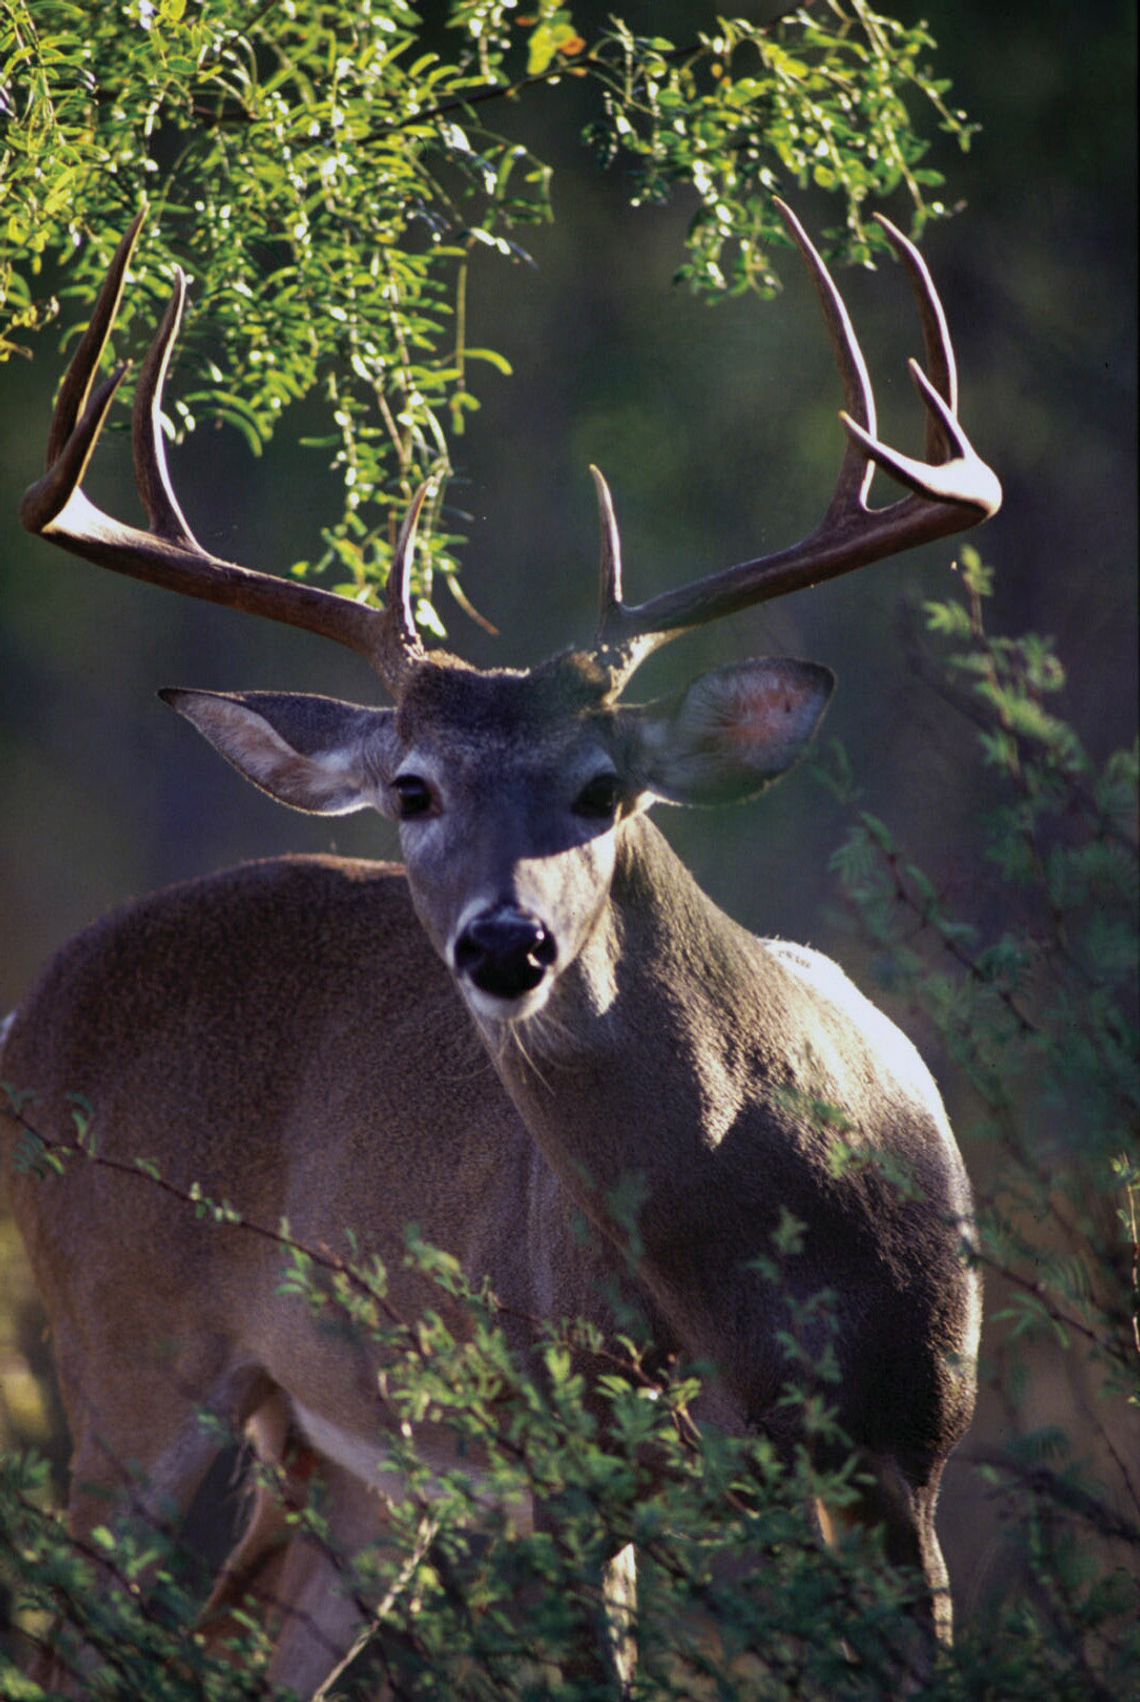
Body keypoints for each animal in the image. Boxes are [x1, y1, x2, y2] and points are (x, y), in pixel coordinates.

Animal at [3, 199, 999, 1696]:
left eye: (604, 787)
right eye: (413, 790)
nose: (507, 942)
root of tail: (34, 1004)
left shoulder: (909, 1449)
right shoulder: (567, 1461)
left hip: (359, 1459)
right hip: (124, 1340)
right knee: (78, 1636)